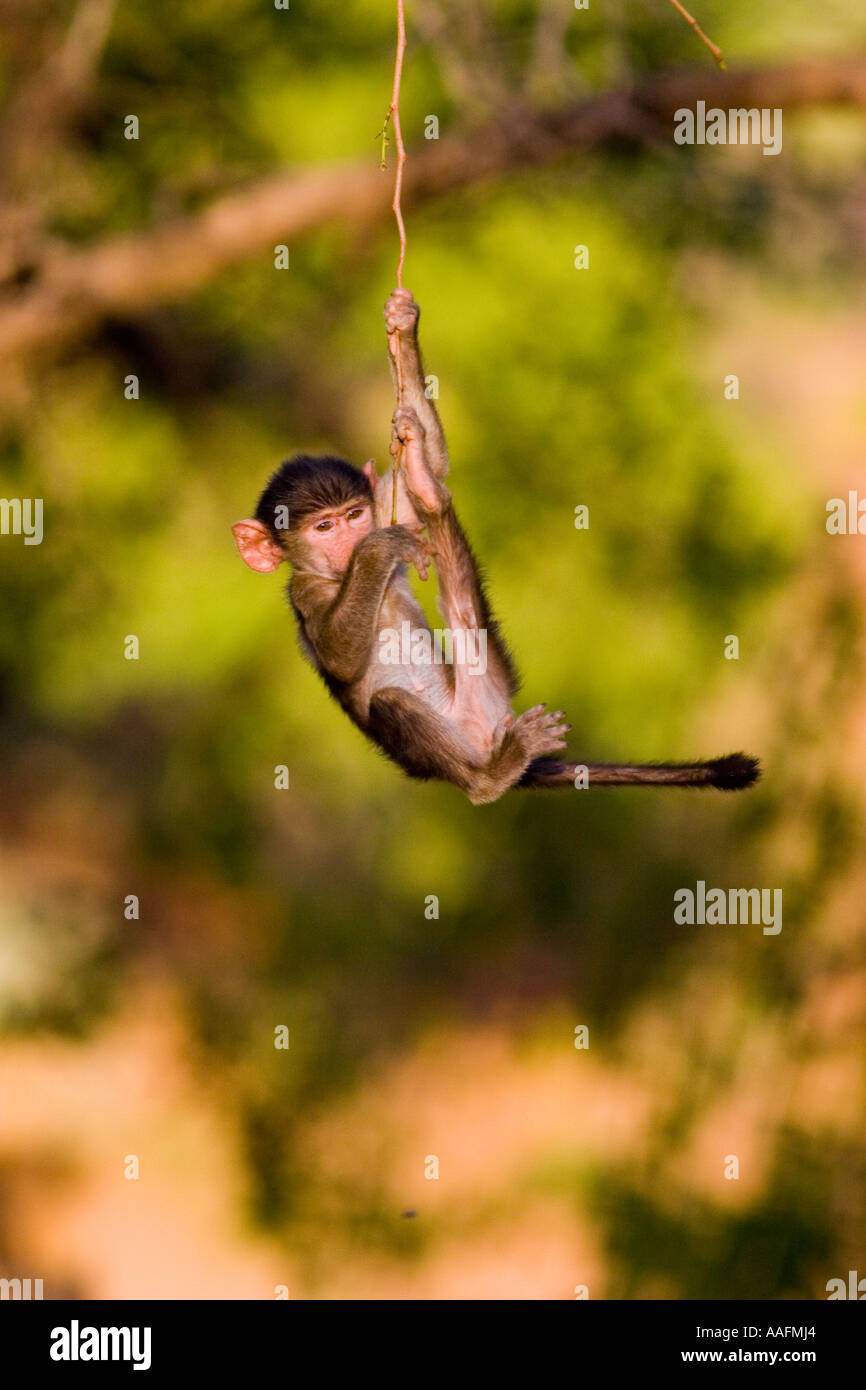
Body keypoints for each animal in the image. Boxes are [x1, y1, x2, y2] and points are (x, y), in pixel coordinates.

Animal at [232, 288, 759, 805]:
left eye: (354, 516)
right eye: (324, 528)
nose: (351, 540)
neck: (337, 576)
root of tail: (484, 741)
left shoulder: (383, 507)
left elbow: (429, 475)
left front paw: (402, 325)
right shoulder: (305, 593)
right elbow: (340, 654)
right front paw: (380, 549)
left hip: (489, 682)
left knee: (461, 601)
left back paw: (425, 487)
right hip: (461, 747)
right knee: (393, 704)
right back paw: (490, 780)